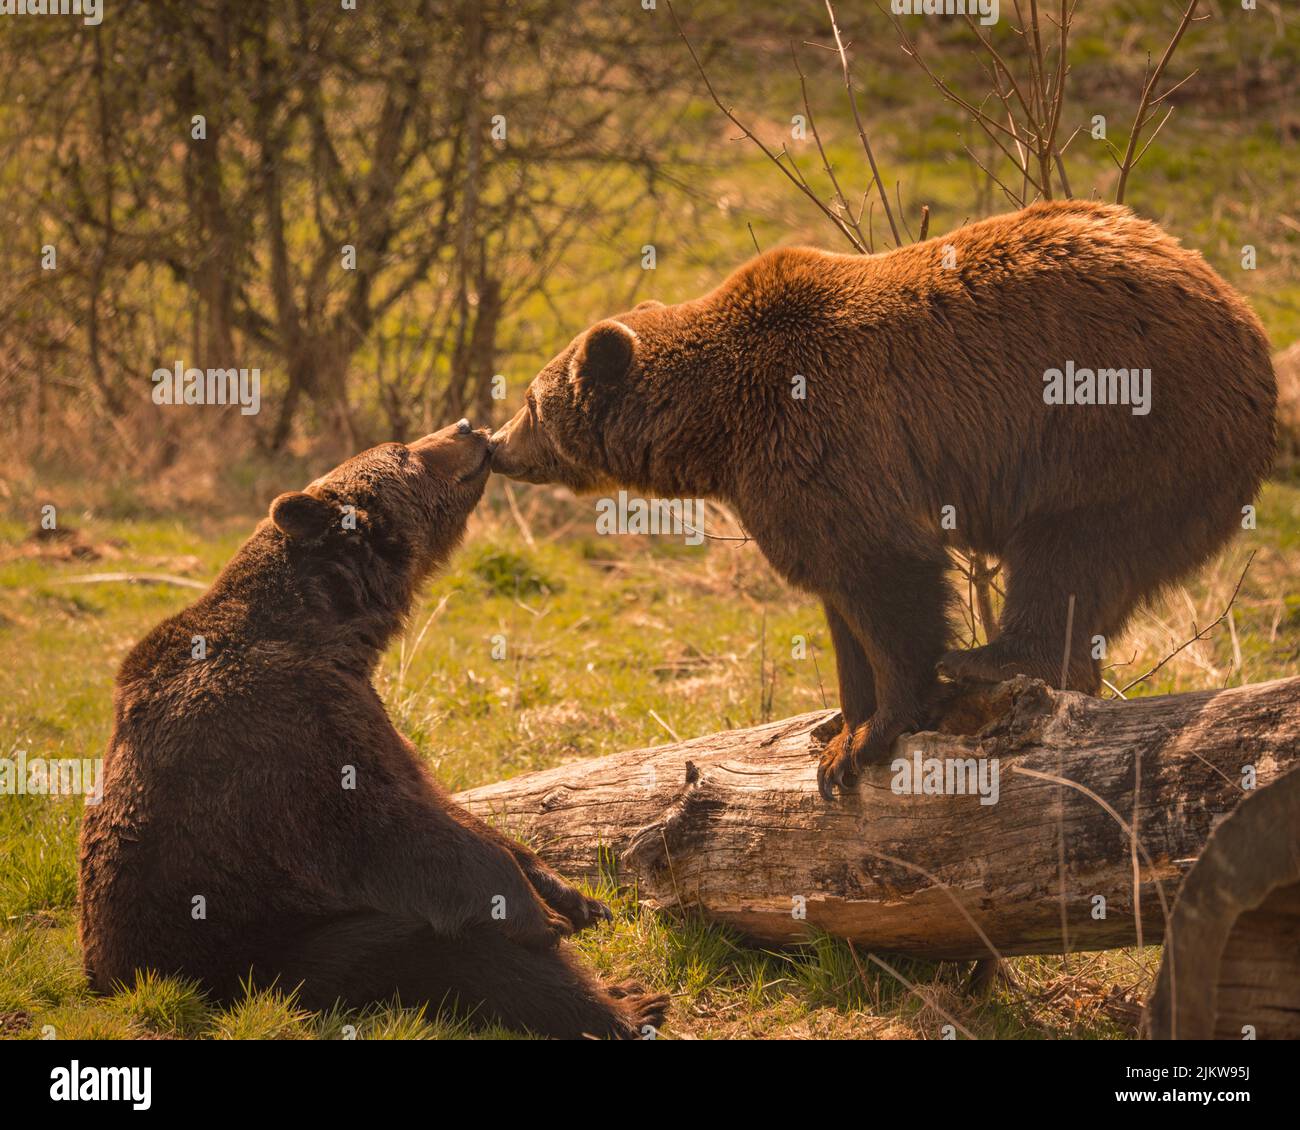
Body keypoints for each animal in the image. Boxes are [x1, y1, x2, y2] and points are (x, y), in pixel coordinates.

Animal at [79, 419, 668, 1039]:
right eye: (404, 453)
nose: (466, 427)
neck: (331, 629)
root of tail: (109, 981)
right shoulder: (284, 737)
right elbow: (390, 830)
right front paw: (539, 914)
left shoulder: (366, 712)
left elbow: (443, 802)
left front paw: (574, 897)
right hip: (271, 958)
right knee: (453, 953)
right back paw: (626, 1006)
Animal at [489, 200, 1277, 799]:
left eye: (530, 400)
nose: (494, 443)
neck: (717, 425)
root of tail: (1248, 324)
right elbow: (838, 602)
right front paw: (837, 725)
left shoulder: (823, 433)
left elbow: (884, 573)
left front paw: (869, 738)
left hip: (1125, 425)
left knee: (1069, 551)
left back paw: (993, 660)